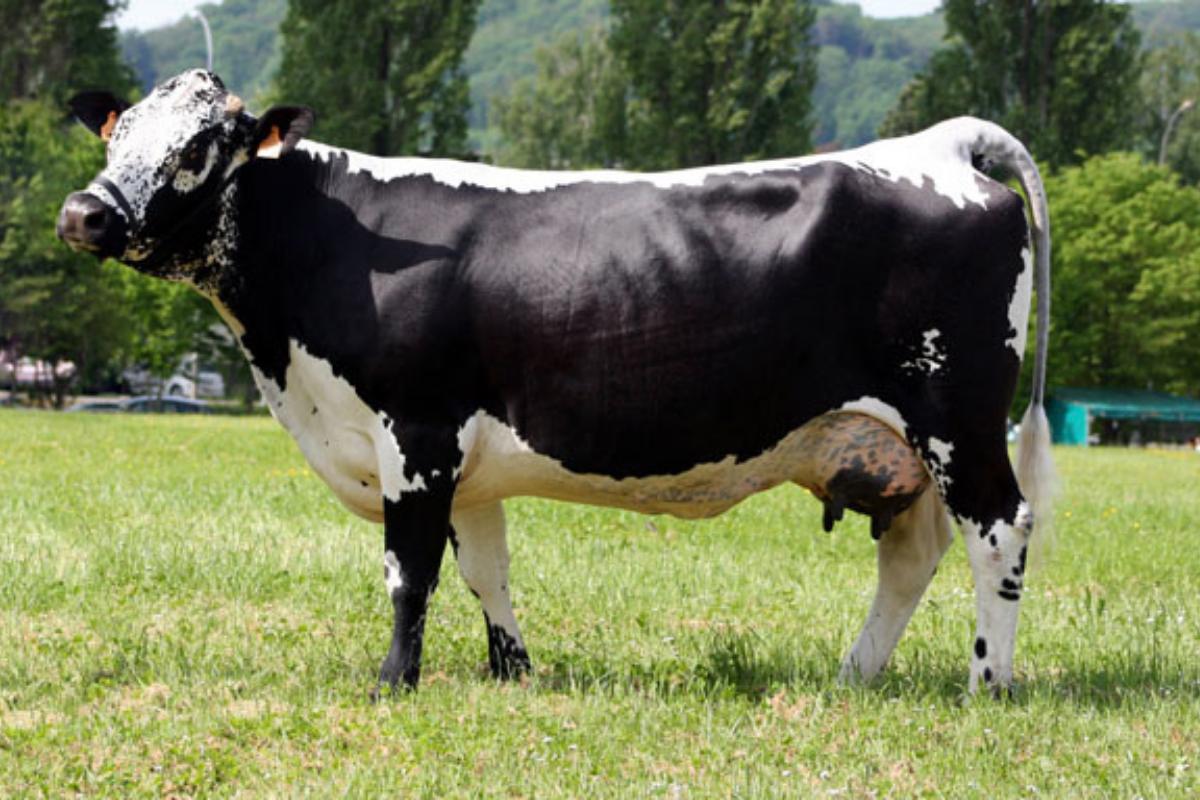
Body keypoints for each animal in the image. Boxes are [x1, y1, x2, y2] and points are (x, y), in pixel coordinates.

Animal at [58, 70, 1054, 696]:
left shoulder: (416, 433)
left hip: (959, 417)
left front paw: (393, 683)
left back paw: (987, 684)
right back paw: (854, 676)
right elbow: (483, 569)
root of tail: (939, 145)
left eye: (201, 147)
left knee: (1000, 531)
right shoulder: (463, 460)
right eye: (116, 133)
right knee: (914, 552)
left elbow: (408, 572)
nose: (83, 213)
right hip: (889, 441)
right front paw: (512, 673)